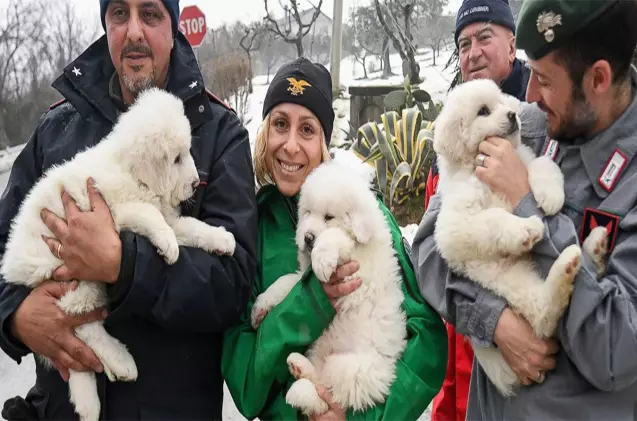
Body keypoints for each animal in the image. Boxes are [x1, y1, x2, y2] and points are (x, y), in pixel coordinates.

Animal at [250, 160, 404, 414]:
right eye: (307, 213)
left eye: (329, 216)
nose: (307, 237)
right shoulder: (302, 274)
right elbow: (284, 283)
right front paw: (259, 308)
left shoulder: (356, 261)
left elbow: (333, 237)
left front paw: (322, 259)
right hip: (321, 352)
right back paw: (298, 367)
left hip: (353, 371)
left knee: (328, 394)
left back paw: (299, 389)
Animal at [432, 78, 580, 394]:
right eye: (483, 111)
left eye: (502, 102)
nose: (513, 115)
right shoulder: (454, 226)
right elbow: (493, 219)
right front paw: (525, 229)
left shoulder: (523, 158)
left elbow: (543, 166)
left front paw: (551, 197)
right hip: (506, 279)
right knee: (542, 315)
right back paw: (566, 265)